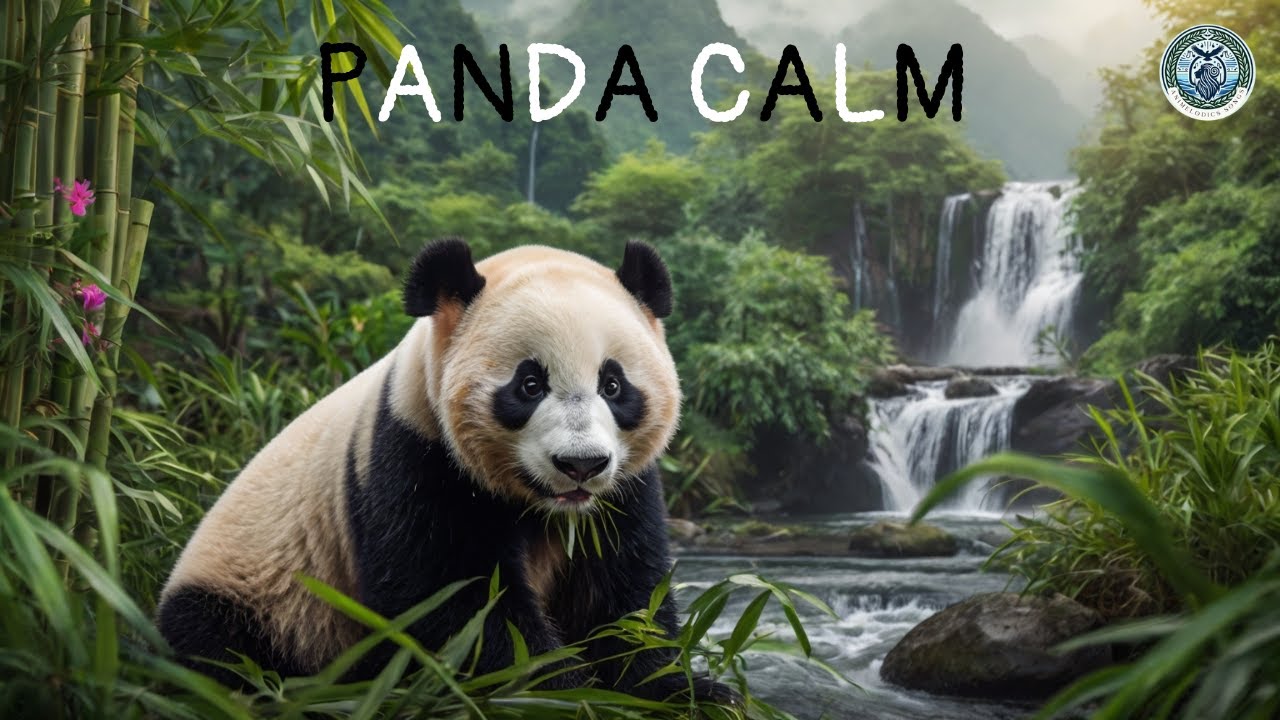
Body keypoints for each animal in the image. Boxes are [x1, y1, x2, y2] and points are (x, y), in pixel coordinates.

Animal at [157, 239, 734, 704]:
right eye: (529, 384)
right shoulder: (417, 454)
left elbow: (623, 592)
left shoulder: (621, 492)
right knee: (225, 655)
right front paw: (560, 686)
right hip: (263, 598)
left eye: (613, 385)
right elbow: (453, 604)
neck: (543, 506)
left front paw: (686, 690)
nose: (580, 464)